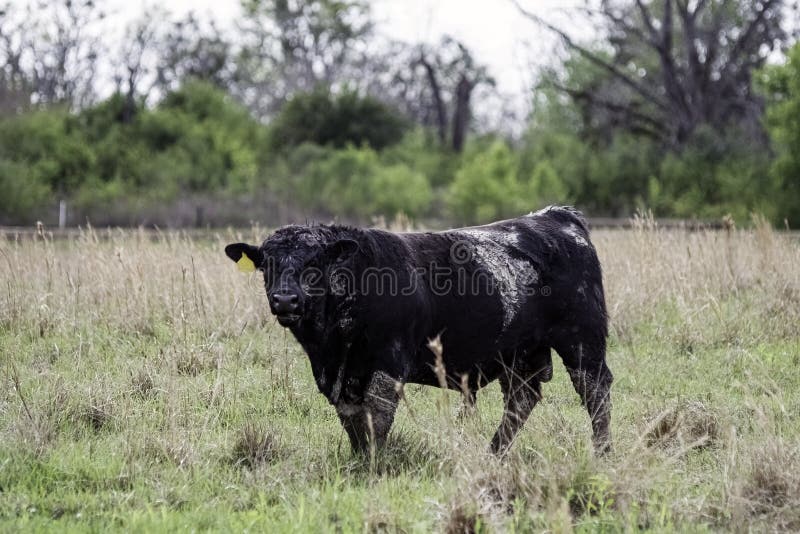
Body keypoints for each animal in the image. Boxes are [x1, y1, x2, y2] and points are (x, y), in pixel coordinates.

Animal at [225, 206, 612, 456]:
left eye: (314, 263)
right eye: (266, 265)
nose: (285, 300)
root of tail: (557, 216)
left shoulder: (387, 364)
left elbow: (377, 419)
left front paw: (372, 468)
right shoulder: (342, 378)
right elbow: (353, 425)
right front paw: (357, 462)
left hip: (583, 340)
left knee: (595, 392)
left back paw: (602, 453)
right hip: (521, 354)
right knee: (522, 399)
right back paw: (493, 454)